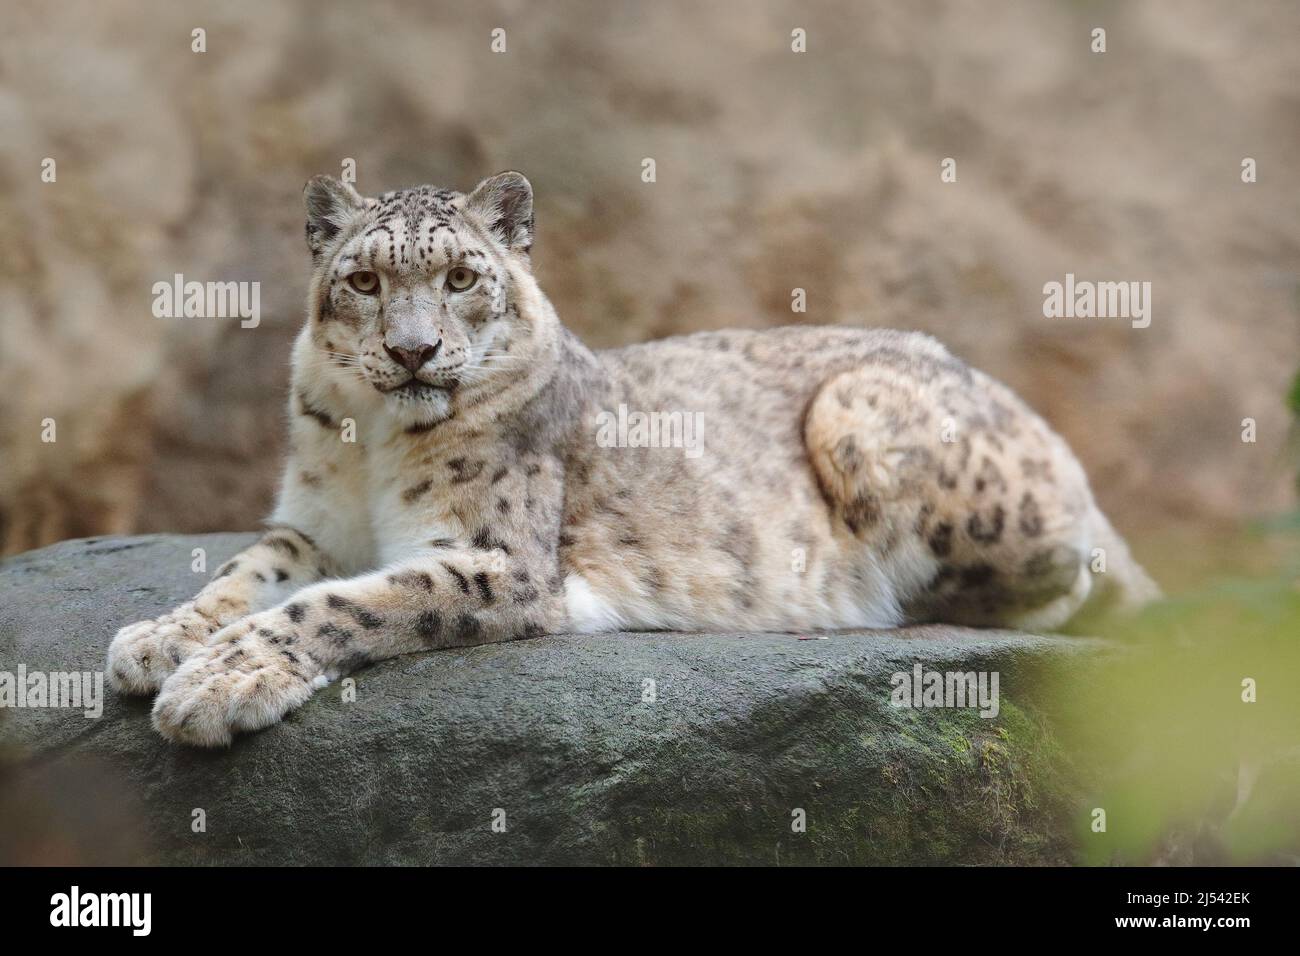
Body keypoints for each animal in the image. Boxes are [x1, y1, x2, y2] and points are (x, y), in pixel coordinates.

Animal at [106, 171, 1159, 746]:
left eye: (462, 276)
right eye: (363, 280)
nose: (413, 352)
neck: (368, 449)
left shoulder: (497, 560)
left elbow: (345, 605)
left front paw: (216, 682)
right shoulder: (311, 525)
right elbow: (247, 574)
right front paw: (156, 640)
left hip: (866, 418)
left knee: (1071, 578)